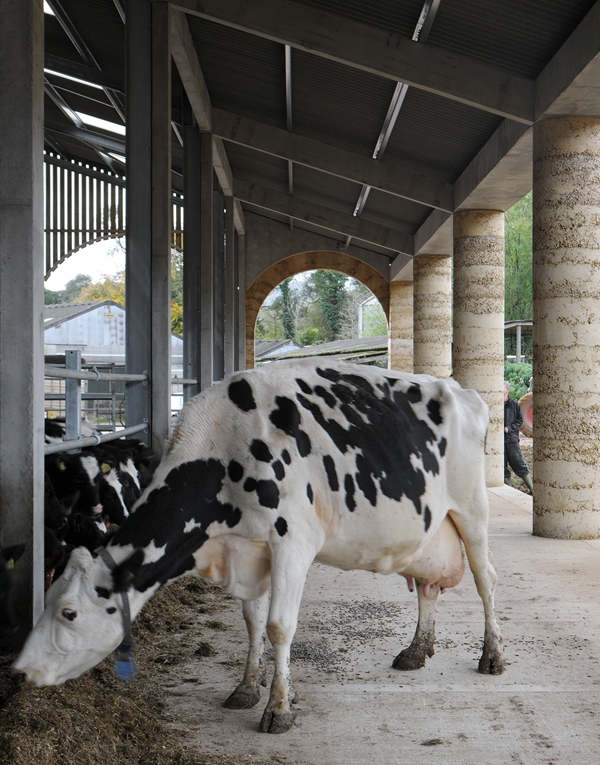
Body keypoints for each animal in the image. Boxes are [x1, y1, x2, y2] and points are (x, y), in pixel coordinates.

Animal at [12, 360, 505, 733]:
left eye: (68, 613)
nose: (19, 670)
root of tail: (461, 389)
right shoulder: (249, 551)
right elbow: (251, 622)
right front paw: (247, 688)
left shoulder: (292, 542)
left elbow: (279, 626)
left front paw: (278, 708)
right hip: (432, 529)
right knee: (427, 587)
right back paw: (417, 649)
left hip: (472, 511)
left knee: (486, 580)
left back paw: (492, 655)